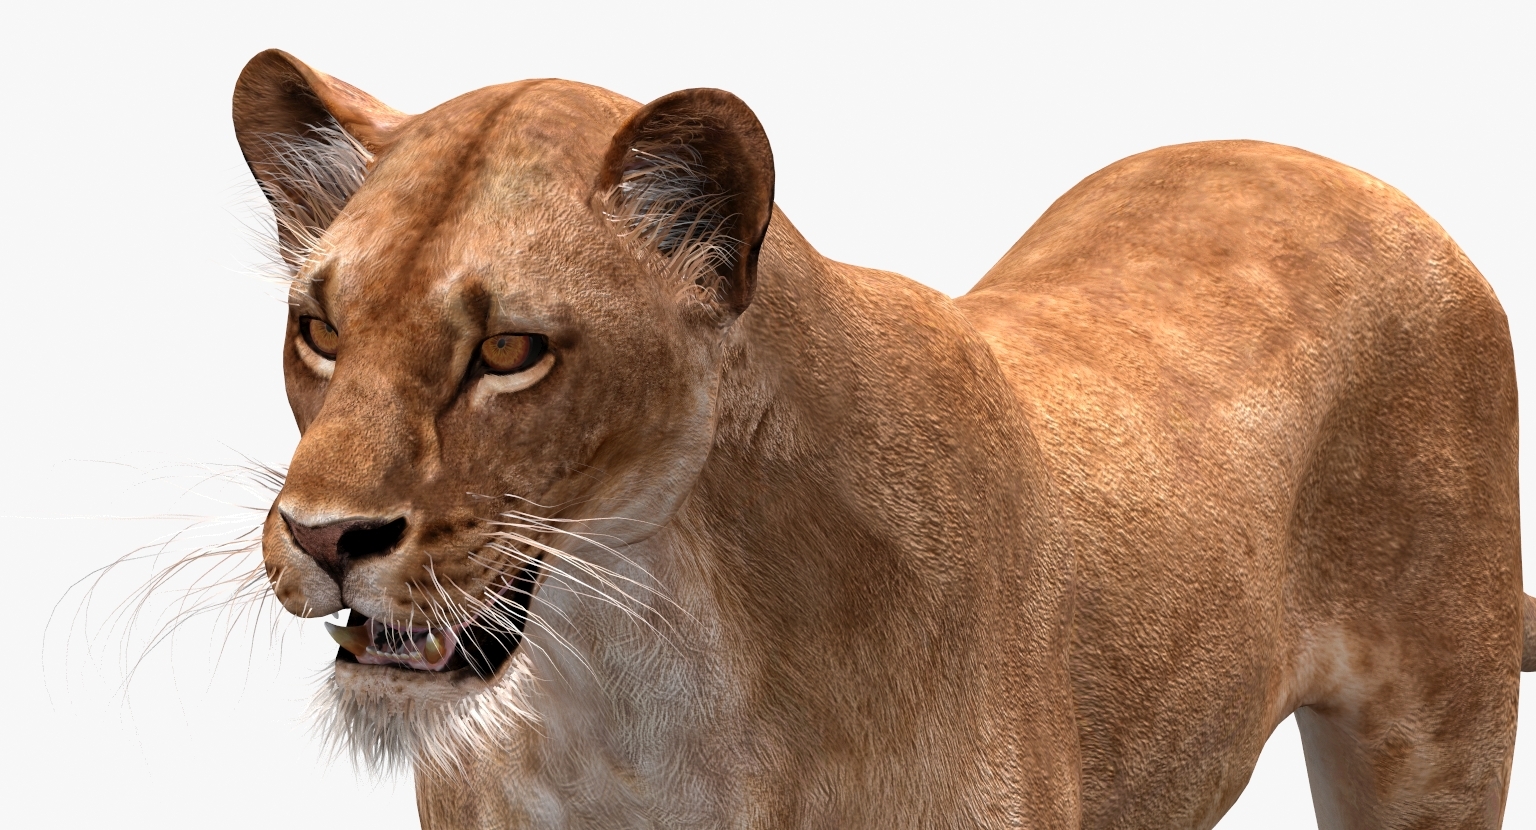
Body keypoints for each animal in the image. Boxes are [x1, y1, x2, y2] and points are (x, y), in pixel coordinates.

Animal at [233, 49, 1534, 829]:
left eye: (509, 350)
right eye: (321, 328)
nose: (325, 536)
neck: (636, 675)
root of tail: (1346, 171)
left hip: (1435, 747)